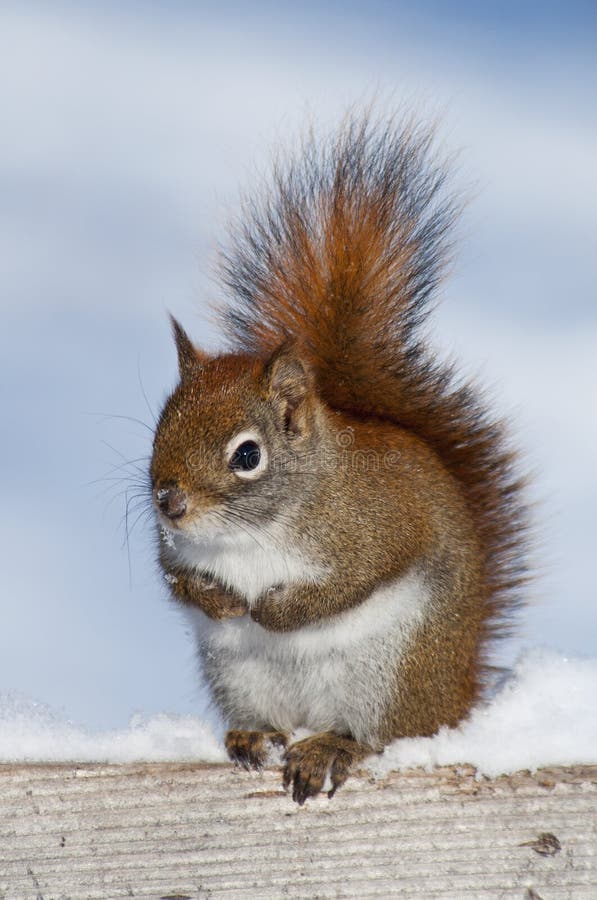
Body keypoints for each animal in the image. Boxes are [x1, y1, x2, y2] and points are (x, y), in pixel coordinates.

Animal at [150, 112, 529, 804]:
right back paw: (254, 737)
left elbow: (354, 580)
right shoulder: (174, 550)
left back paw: (329, 745)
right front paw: (223, 603)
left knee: (374, 737)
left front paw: (272, 610)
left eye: (248, 454)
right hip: (238, 675)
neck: (256, 529)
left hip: (391, 674)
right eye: (160, 426)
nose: (169, 502)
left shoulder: (380, 527)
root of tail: (453, 699)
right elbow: (177, 579)